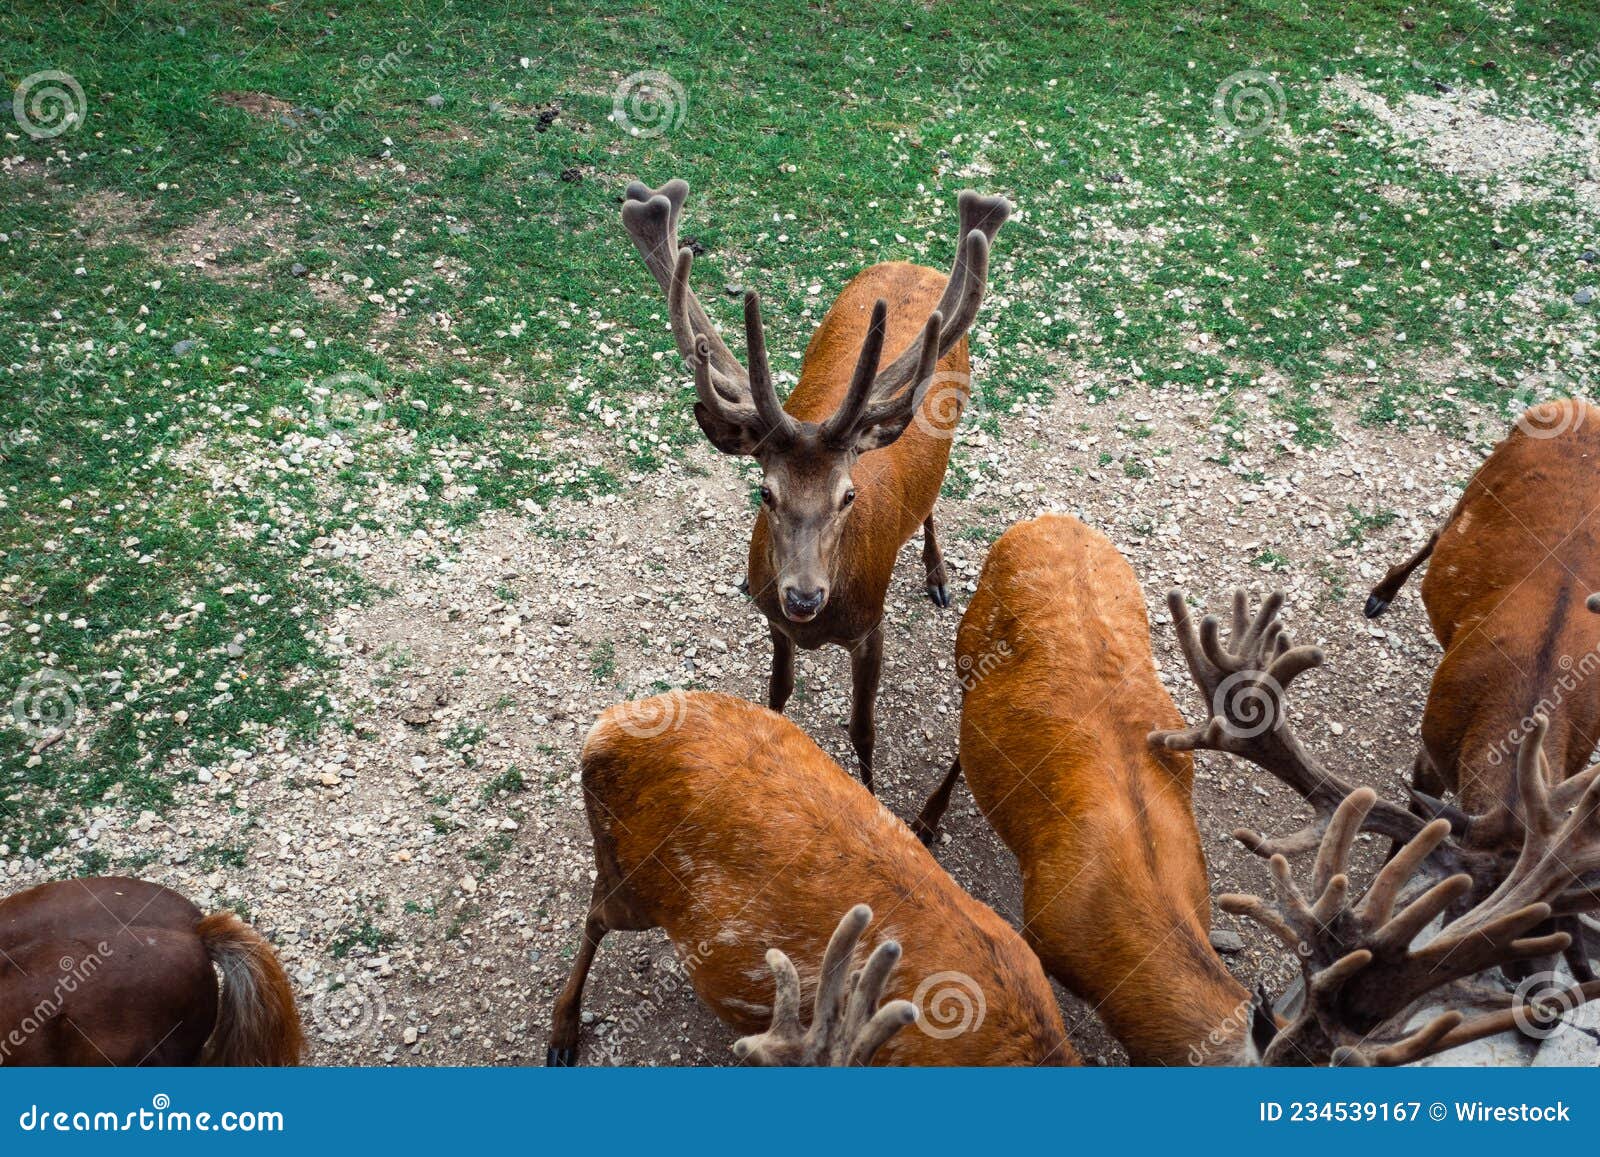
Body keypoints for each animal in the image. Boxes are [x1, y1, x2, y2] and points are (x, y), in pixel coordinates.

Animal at [619, 178, 1011, 789]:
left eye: (848, 495)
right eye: (765, 492)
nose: (804, 597)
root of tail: (910, 264)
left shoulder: (871, 628)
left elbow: (863, 729)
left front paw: (870, 792)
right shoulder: (775, 624)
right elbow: (777, 696)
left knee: (932, 502)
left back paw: (938, 576)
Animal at [1363, 399, 1600, 974]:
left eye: (1553, 911)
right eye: (1470, 898)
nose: (1527, 974)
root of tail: (1575, 403)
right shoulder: (1433, 741)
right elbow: (1416, 821)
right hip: (1479, 480)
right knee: (1436, 533)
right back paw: (1380, 593)